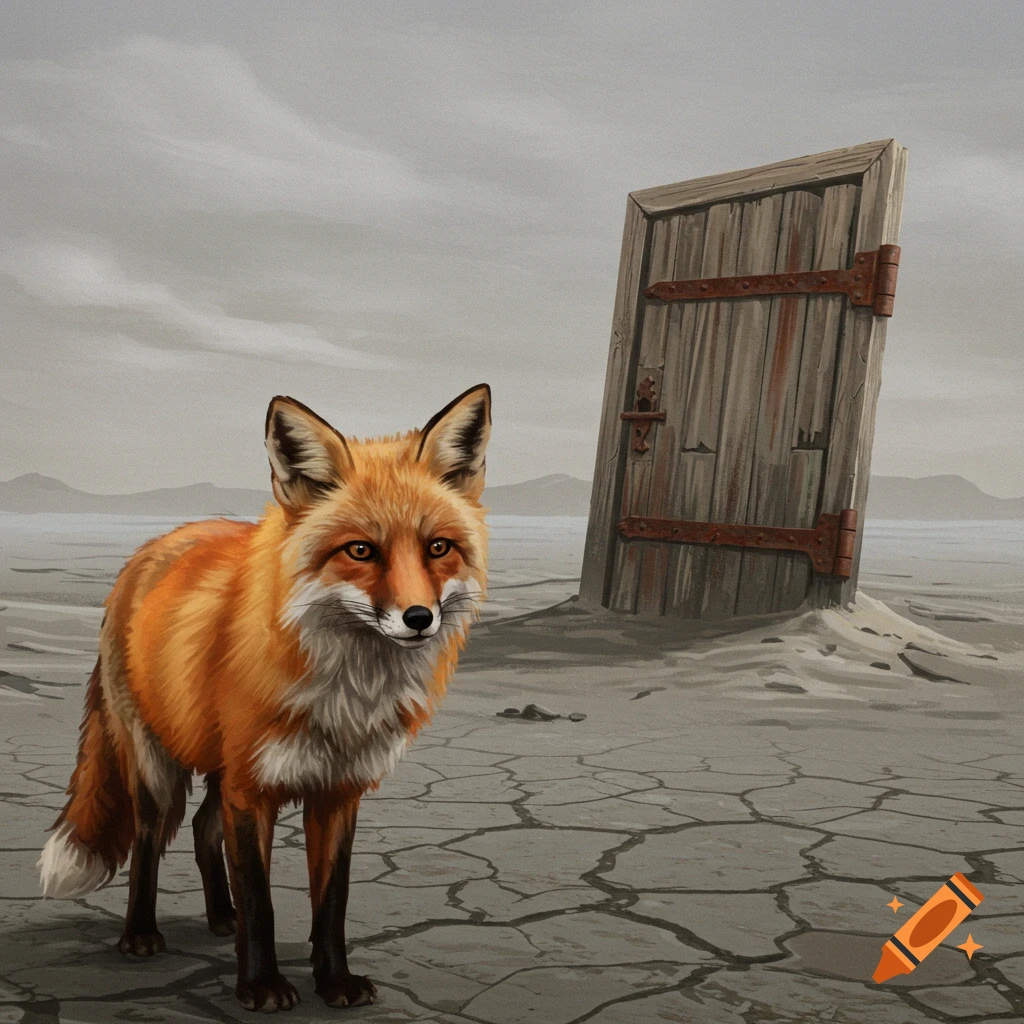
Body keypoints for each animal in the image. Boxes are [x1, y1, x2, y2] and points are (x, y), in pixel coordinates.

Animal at [37, 384, 491, 1012]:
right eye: (361, 551)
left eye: (438, 547)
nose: (419, 618)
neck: (344, 693)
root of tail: (153, 548)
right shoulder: (252, 790)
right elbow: (261, 900)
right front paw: (260, 986)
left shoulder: (337, 790)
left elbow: (331, 903)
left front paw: (334, 982)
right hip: (158, 765)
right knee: (151, 839)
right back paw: (141, 935)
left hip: (222, 766)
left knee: (204, 829)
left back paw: (219, 917)